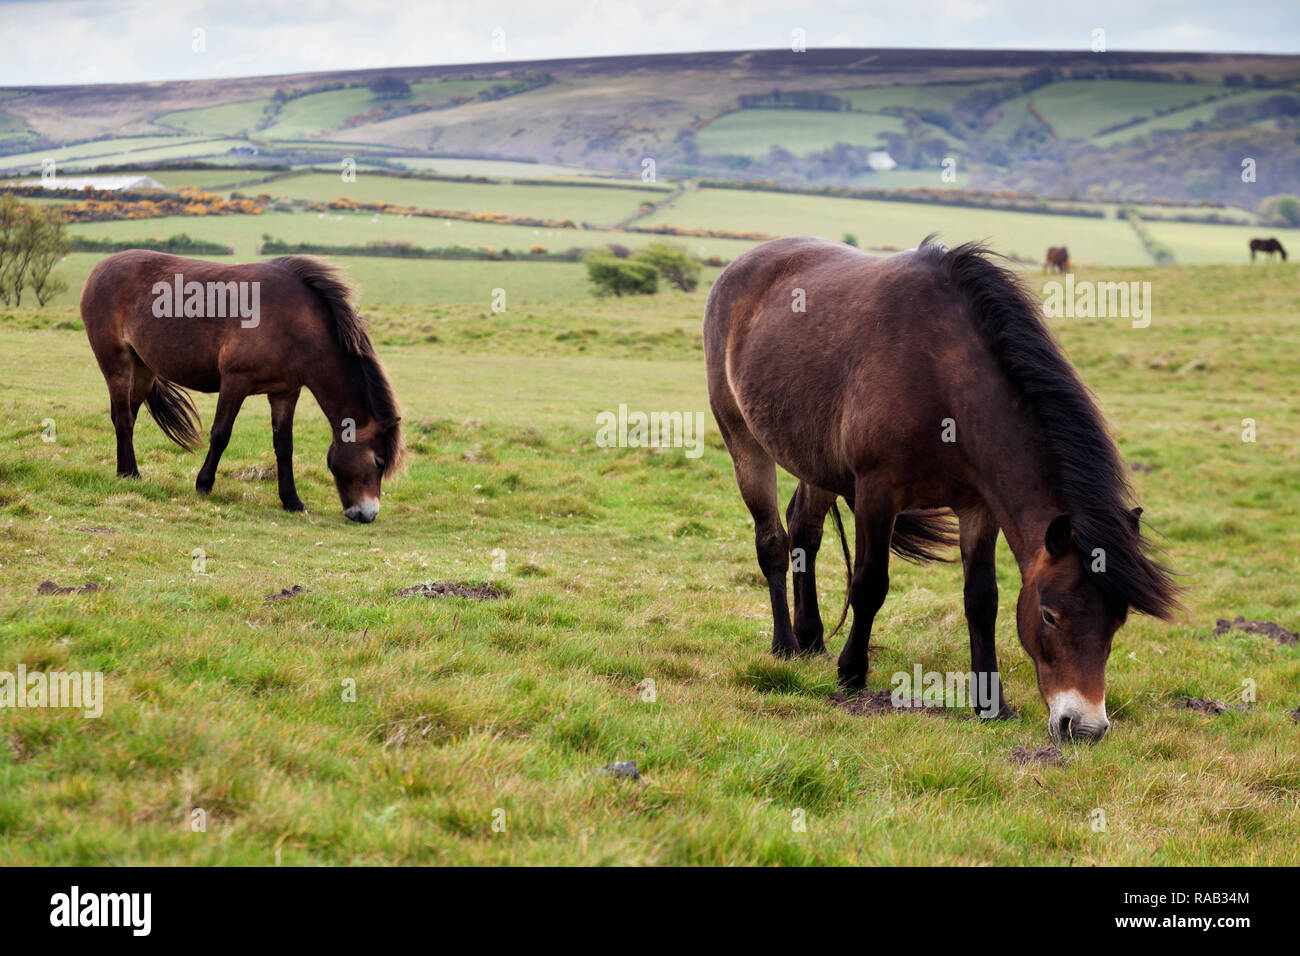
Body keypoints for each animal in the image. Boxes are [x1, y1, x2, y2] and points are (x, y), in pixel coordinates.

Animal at [80, 252, 404, 522]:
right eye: (378, 460)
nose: (367, 514)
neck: (296, 323)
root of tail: (100, 268)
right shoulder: (235, 382)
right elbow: (221, 435)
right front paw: (203, 484)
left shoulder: (285, 392)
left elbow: (284, 445)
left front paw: (292, 500)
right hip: (117, 364)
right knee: (123, 418)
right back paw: (129, 474)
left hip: (143, 369)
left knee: (128, 416)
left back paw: (127, 471)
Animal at [704, 236, 1178, 743]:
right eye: (1050, 615)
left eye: (1117, 621)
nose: (1085, 728)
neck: (940, 377)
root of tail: (742, 264)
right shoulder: (876, 492)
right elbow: (870, 585)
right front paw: (852, 673)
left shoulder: (978, 508)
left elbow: (982, 600)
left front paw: (992, 704)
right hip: (744, 441)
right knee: (772, 541)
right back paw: (786, 644)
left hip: (816, 463)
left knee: (804, 535)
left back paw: (811, 638)